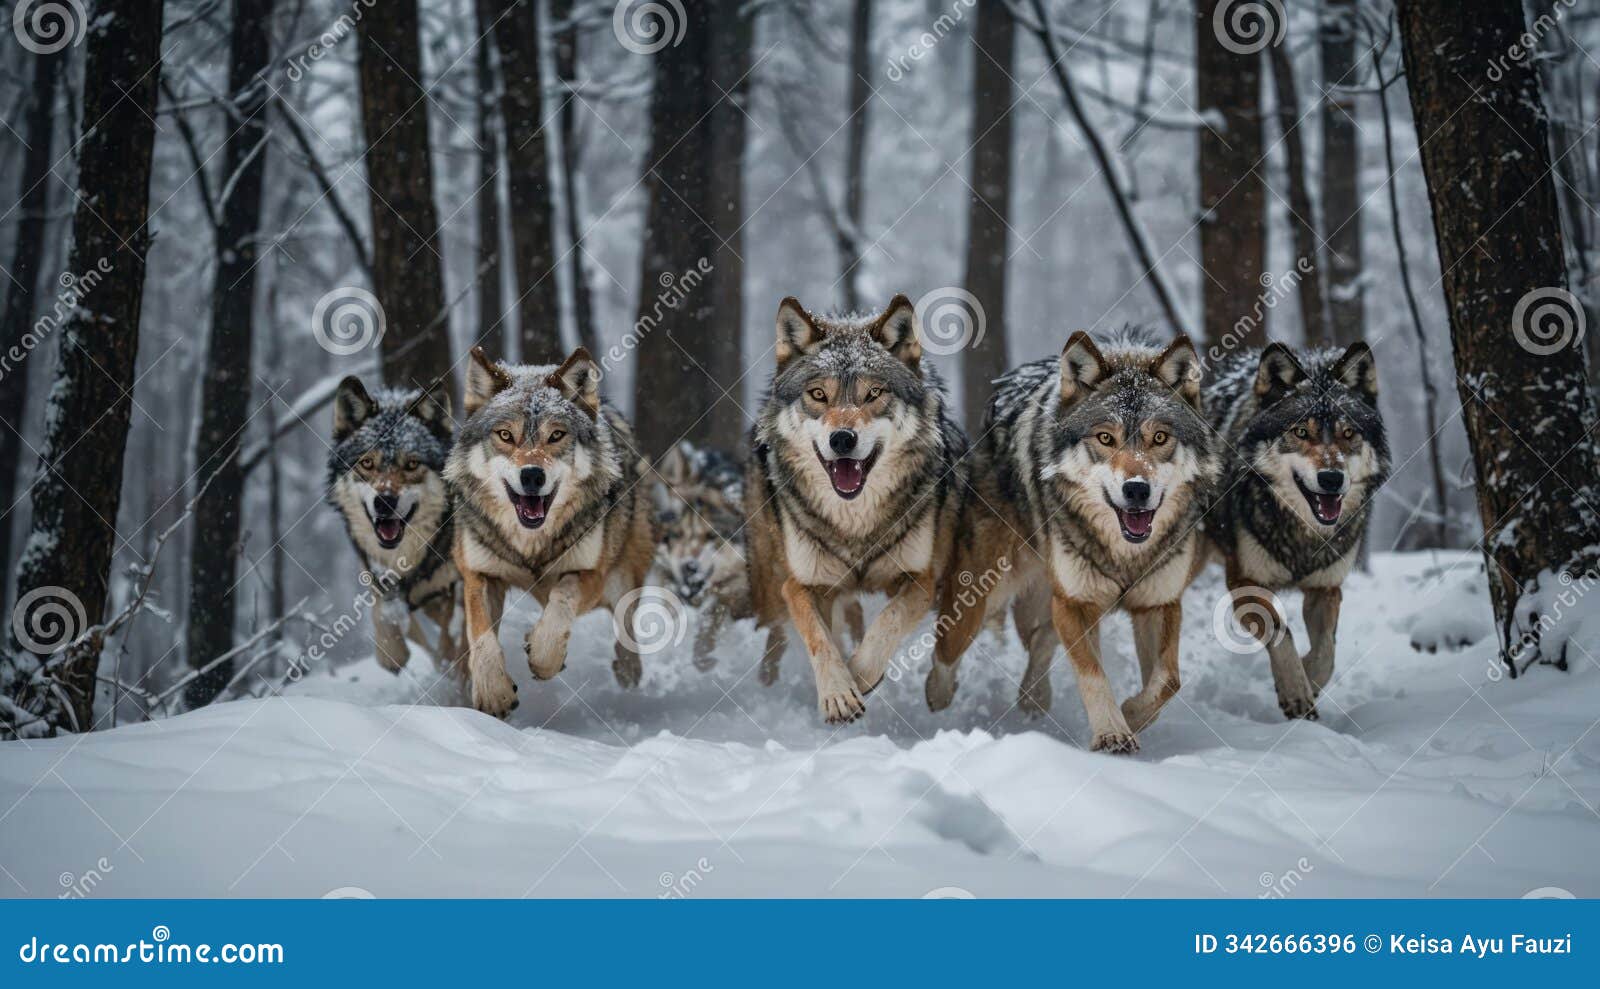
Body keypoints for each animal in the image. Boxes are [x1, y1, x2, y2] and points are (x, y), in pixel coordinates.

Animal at [327, 377, 462, 672]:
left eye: (411, 464)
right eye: (367, 463)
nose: (385, 502)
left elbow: (454, 633)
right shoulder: (378, 579)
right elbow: (386, 621)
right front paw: (394, 654)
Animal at [444, 346, 655, 718]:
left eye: (555, 435)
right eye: (505, 435)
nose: (531, 475)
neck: (531, 547)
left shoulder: (591, 573)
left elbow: (560, 602)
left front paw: (543, 657)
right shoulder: (479, 575)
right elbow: (481, 635)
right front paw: (493, 693)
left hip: (622, 577)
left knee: (626, 620)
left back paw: (628, 671)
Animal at [746, 294, 969, 723]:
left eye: (873, 393)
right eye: (818, 395)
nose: (842, 439)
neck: (855, 526)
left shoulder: (921, 579)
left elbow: (885, 626)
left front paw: (861, 676)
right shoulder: (800, 584)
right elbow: (820, 639)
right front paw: (837, 694)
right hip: (770, 581)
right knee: (781, 631)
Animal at [925, 328, 1217, 753]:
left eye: (1160, 437)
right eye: (1106, 438)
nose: (1136, 489)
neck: (1124, 553)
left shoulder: (1158, 603)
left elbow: (1167, 682)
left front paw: (1131, 714)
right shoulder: (1077, 602)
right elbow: (1093, 674)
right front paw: (1112, 733)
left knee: (1042, 639)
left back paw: (1034, 698)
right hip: (985, 593)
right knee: (948, 647)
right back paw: (938, 695)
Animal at [1203, 341, 1389, 720]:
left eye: (1349, 433)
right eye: (1301, 432)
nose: (1331, 479)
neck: (1304, 535)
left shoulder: (1325, 587)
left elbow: (1326, 652)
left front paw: (1308, 683)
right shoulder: (1244, 582)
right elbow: (1281, 632)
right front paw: (1294, 691)